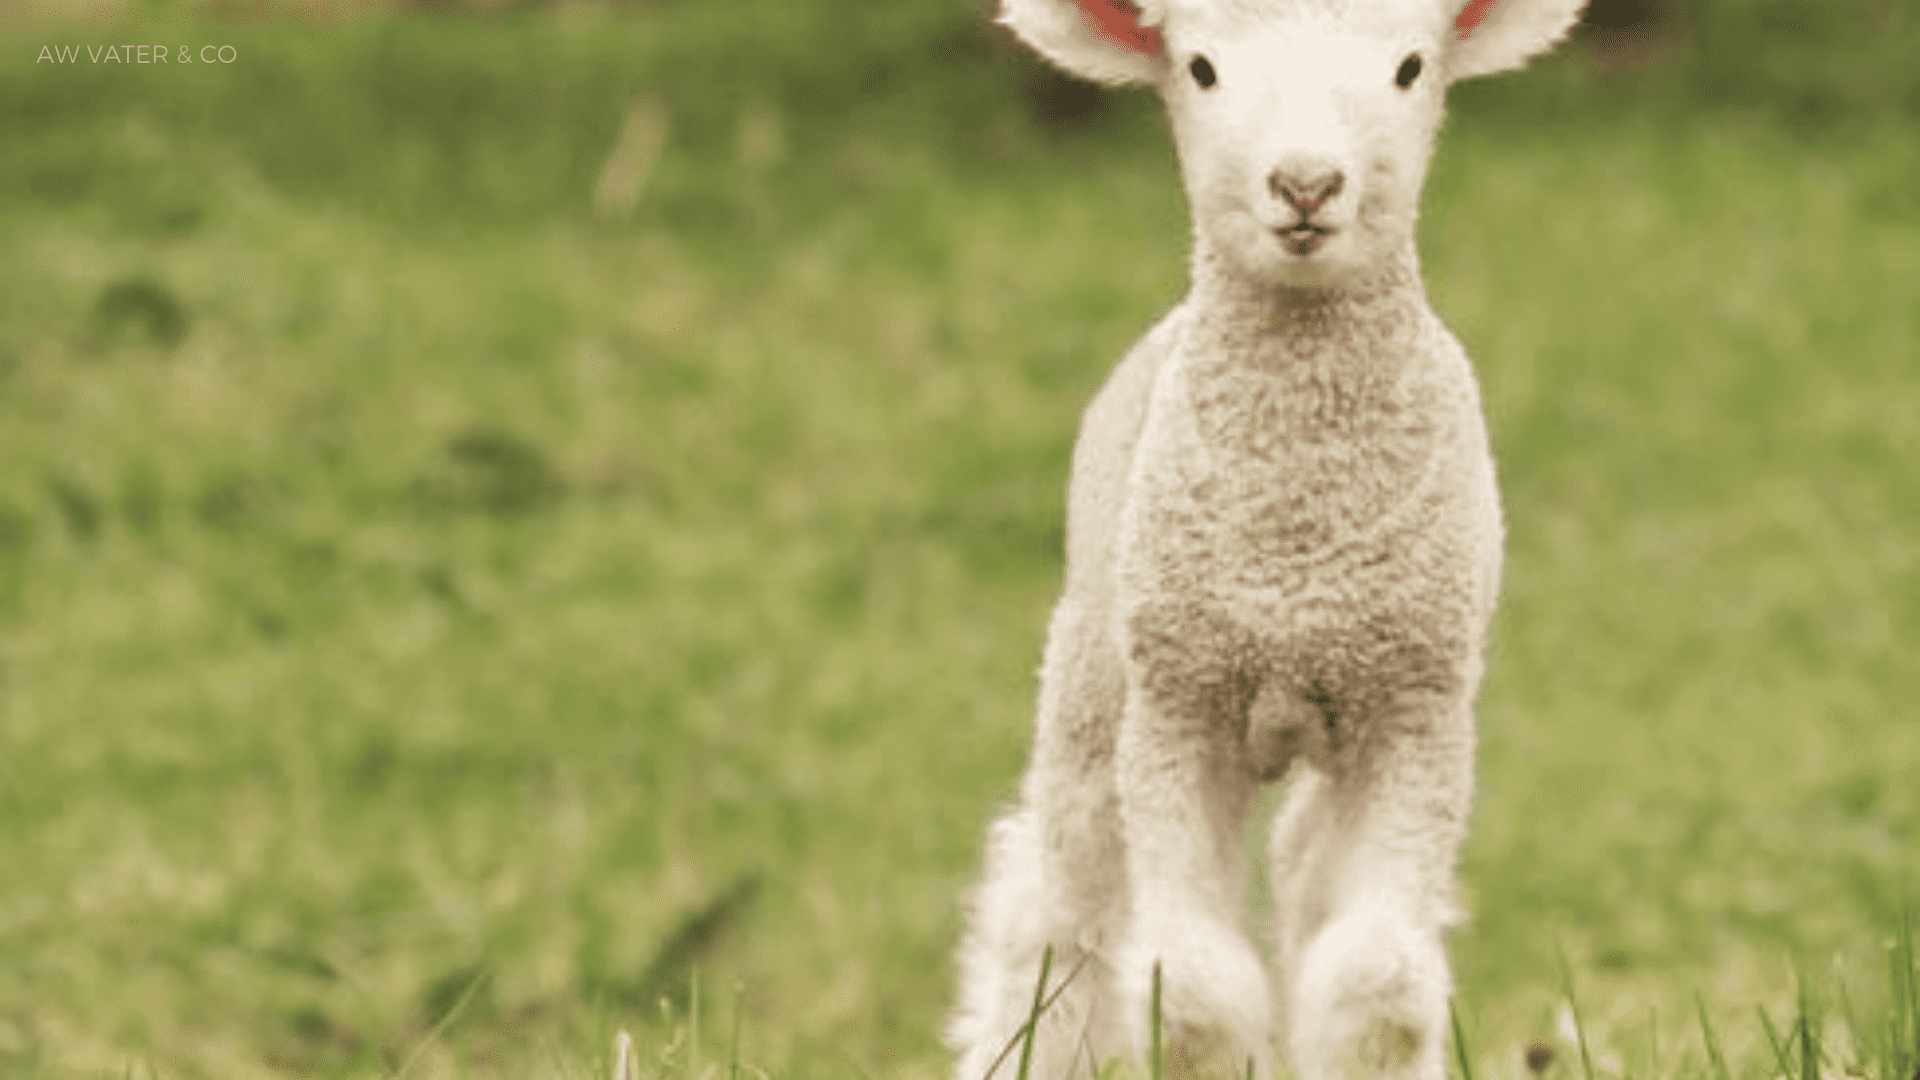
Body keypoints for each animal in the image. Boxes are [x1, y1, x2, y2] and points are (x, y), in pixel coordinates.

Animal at [947, 1, 1584, 1078]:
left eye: (1410, 68)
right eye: (1201, 68)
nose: (1306, 185)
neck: (1297, 553)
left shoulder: (1415, 708)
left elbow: (1379, 987)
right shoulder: (1180, 709)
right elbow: (1194, 996)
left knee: (1300, 859)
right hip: (1093, 663)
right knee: (1060, 901)